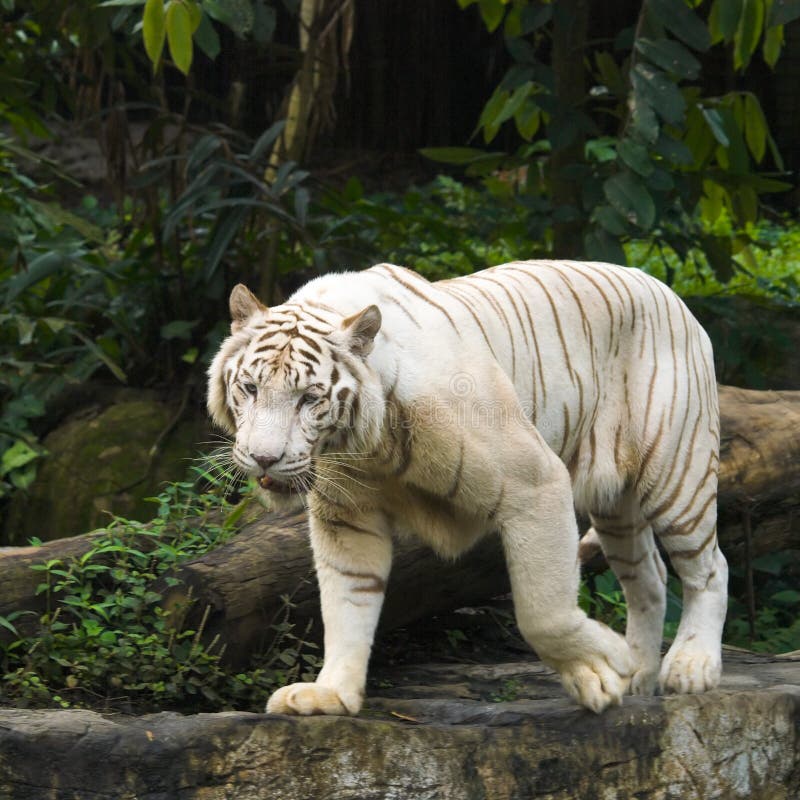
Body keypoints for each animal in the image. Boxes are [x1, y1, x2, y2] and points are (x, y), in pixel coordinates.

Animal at [207, 260, 728, 716]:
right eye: (250, 388)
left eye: (309, 398)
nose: (264, 458)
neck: (370, 445)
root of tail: (665, 290)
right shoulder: (347, 515)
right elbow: (347, 601)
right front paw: (331, 693)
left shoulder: (535, 481)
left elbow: (544, 610)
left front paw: (603, 667)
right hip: (616, 504)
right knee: (650, 578)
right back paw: (641, 674)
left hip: (675, 471)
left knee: (709, 567)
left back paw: (690, 666)